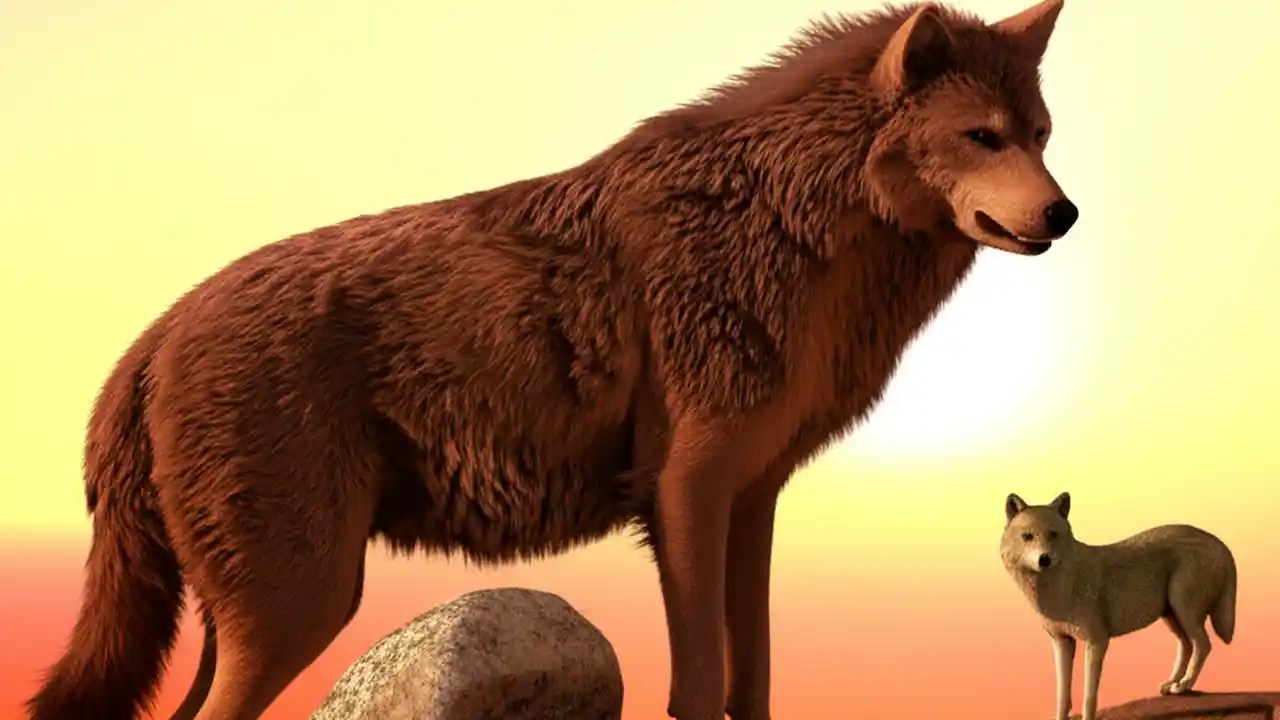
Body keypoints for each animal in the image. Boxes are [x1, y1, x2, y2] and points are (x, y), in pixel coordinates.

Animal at [30, 2, 1075, 719]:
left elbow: (755, 680)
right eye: (981, 135)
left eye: (1040, 135)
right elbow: (699, 685)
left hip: (255, 610)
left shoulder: (751, 499)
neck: (790, 222)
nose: (1064, 213)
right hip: (305, 602)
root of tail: (149, 340)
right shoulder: (686, 493)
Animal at [1001, 493, 1238, 720]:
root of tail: (1219, 542)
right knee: (1187, 645)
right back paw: (1172, 684)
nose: (1045, 559)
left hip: (1184, 610)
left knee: (1203, 645)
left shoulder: (1097, 641)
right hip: (1172, 616)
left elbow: (1089, 695)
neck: (1061, 586)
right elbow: (1062, 693)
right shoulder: (1061, 641)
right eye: (1028, 536)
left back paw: (1184, 685)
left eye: (1053, 534)